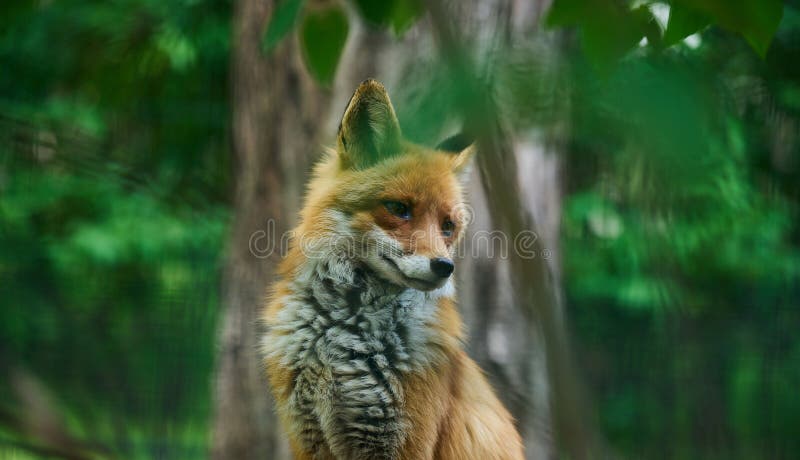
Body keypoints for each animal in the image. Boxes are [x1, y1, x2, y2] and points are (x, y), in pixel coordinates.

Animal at [261, 79, 524, 460]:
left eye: (447, 227)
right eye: (399, 208)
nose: (444, 267)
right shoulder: (308, 438)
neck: (342, 335)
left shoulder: (402, 441)